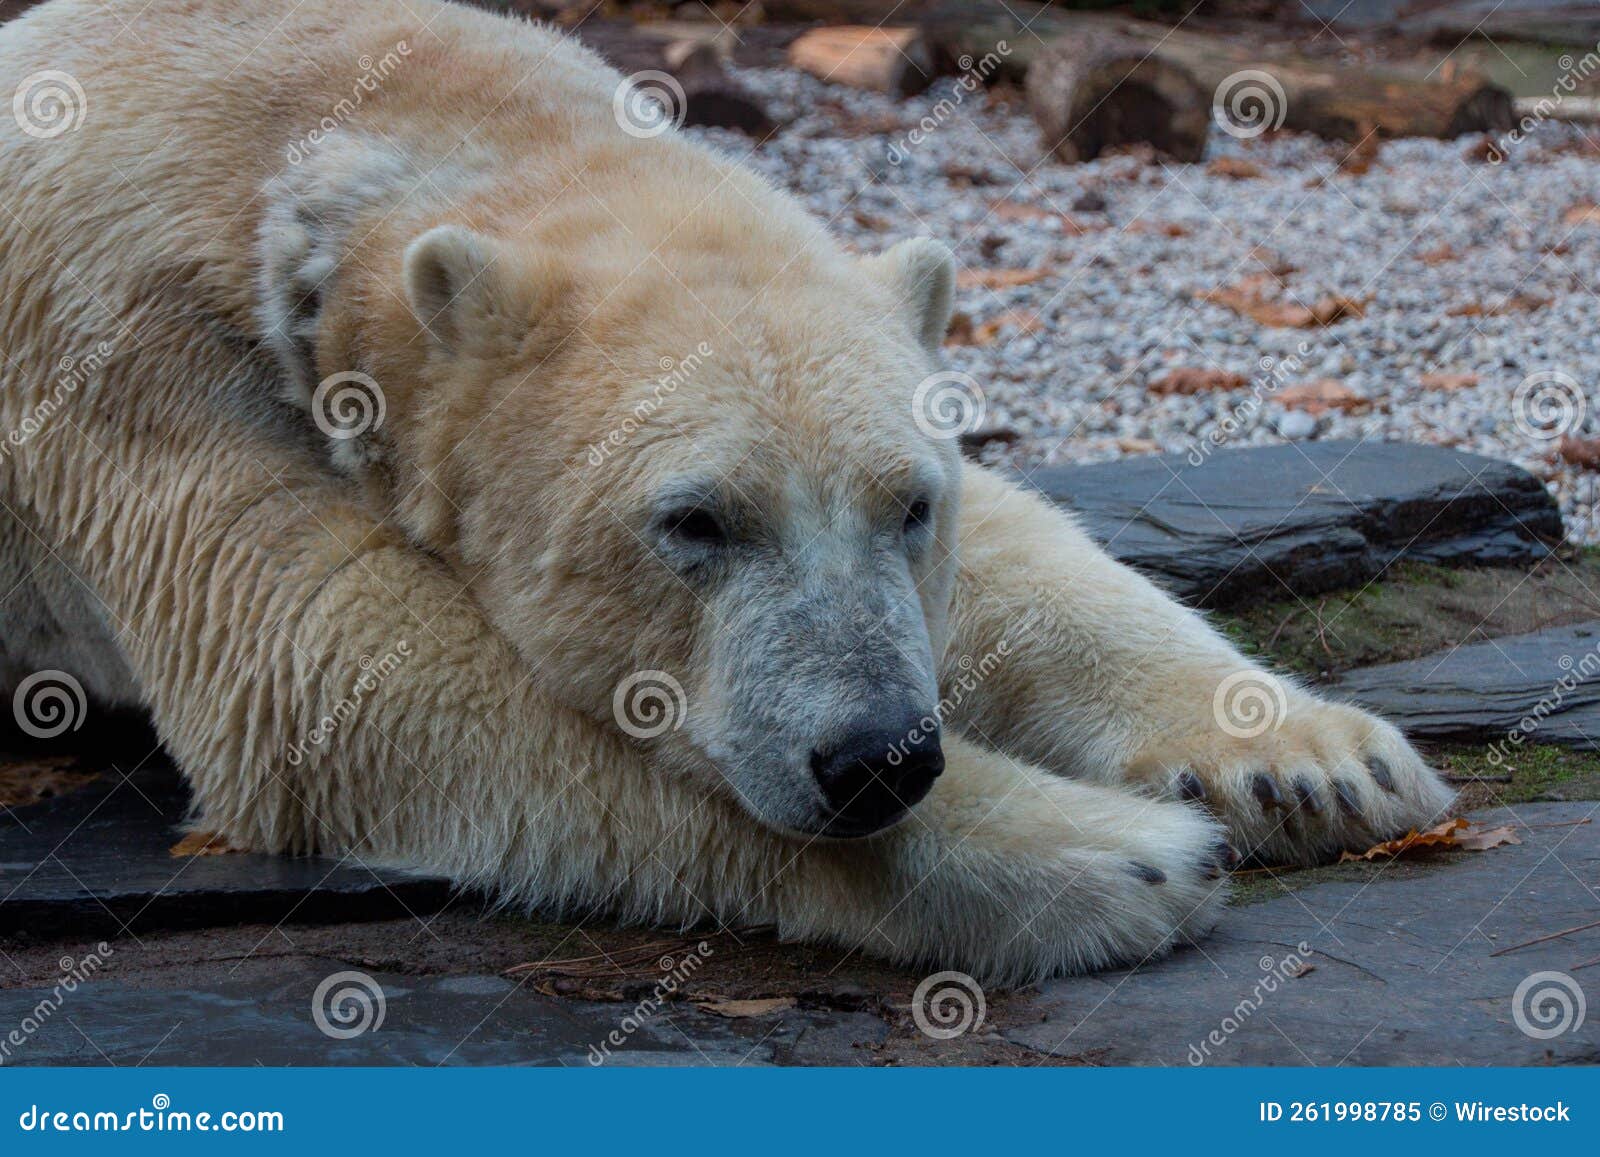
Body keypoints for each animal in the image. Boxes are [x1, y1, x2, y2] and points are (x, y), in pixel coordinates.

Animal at [0, 0, 1453, 984]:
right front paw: (1122, 853)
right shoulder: (129, 334)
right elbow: (324, 654)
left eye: (908, 506)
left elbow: (1019, 550)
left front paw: (1312, 762)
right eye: (694, 520)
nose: (878, 757)